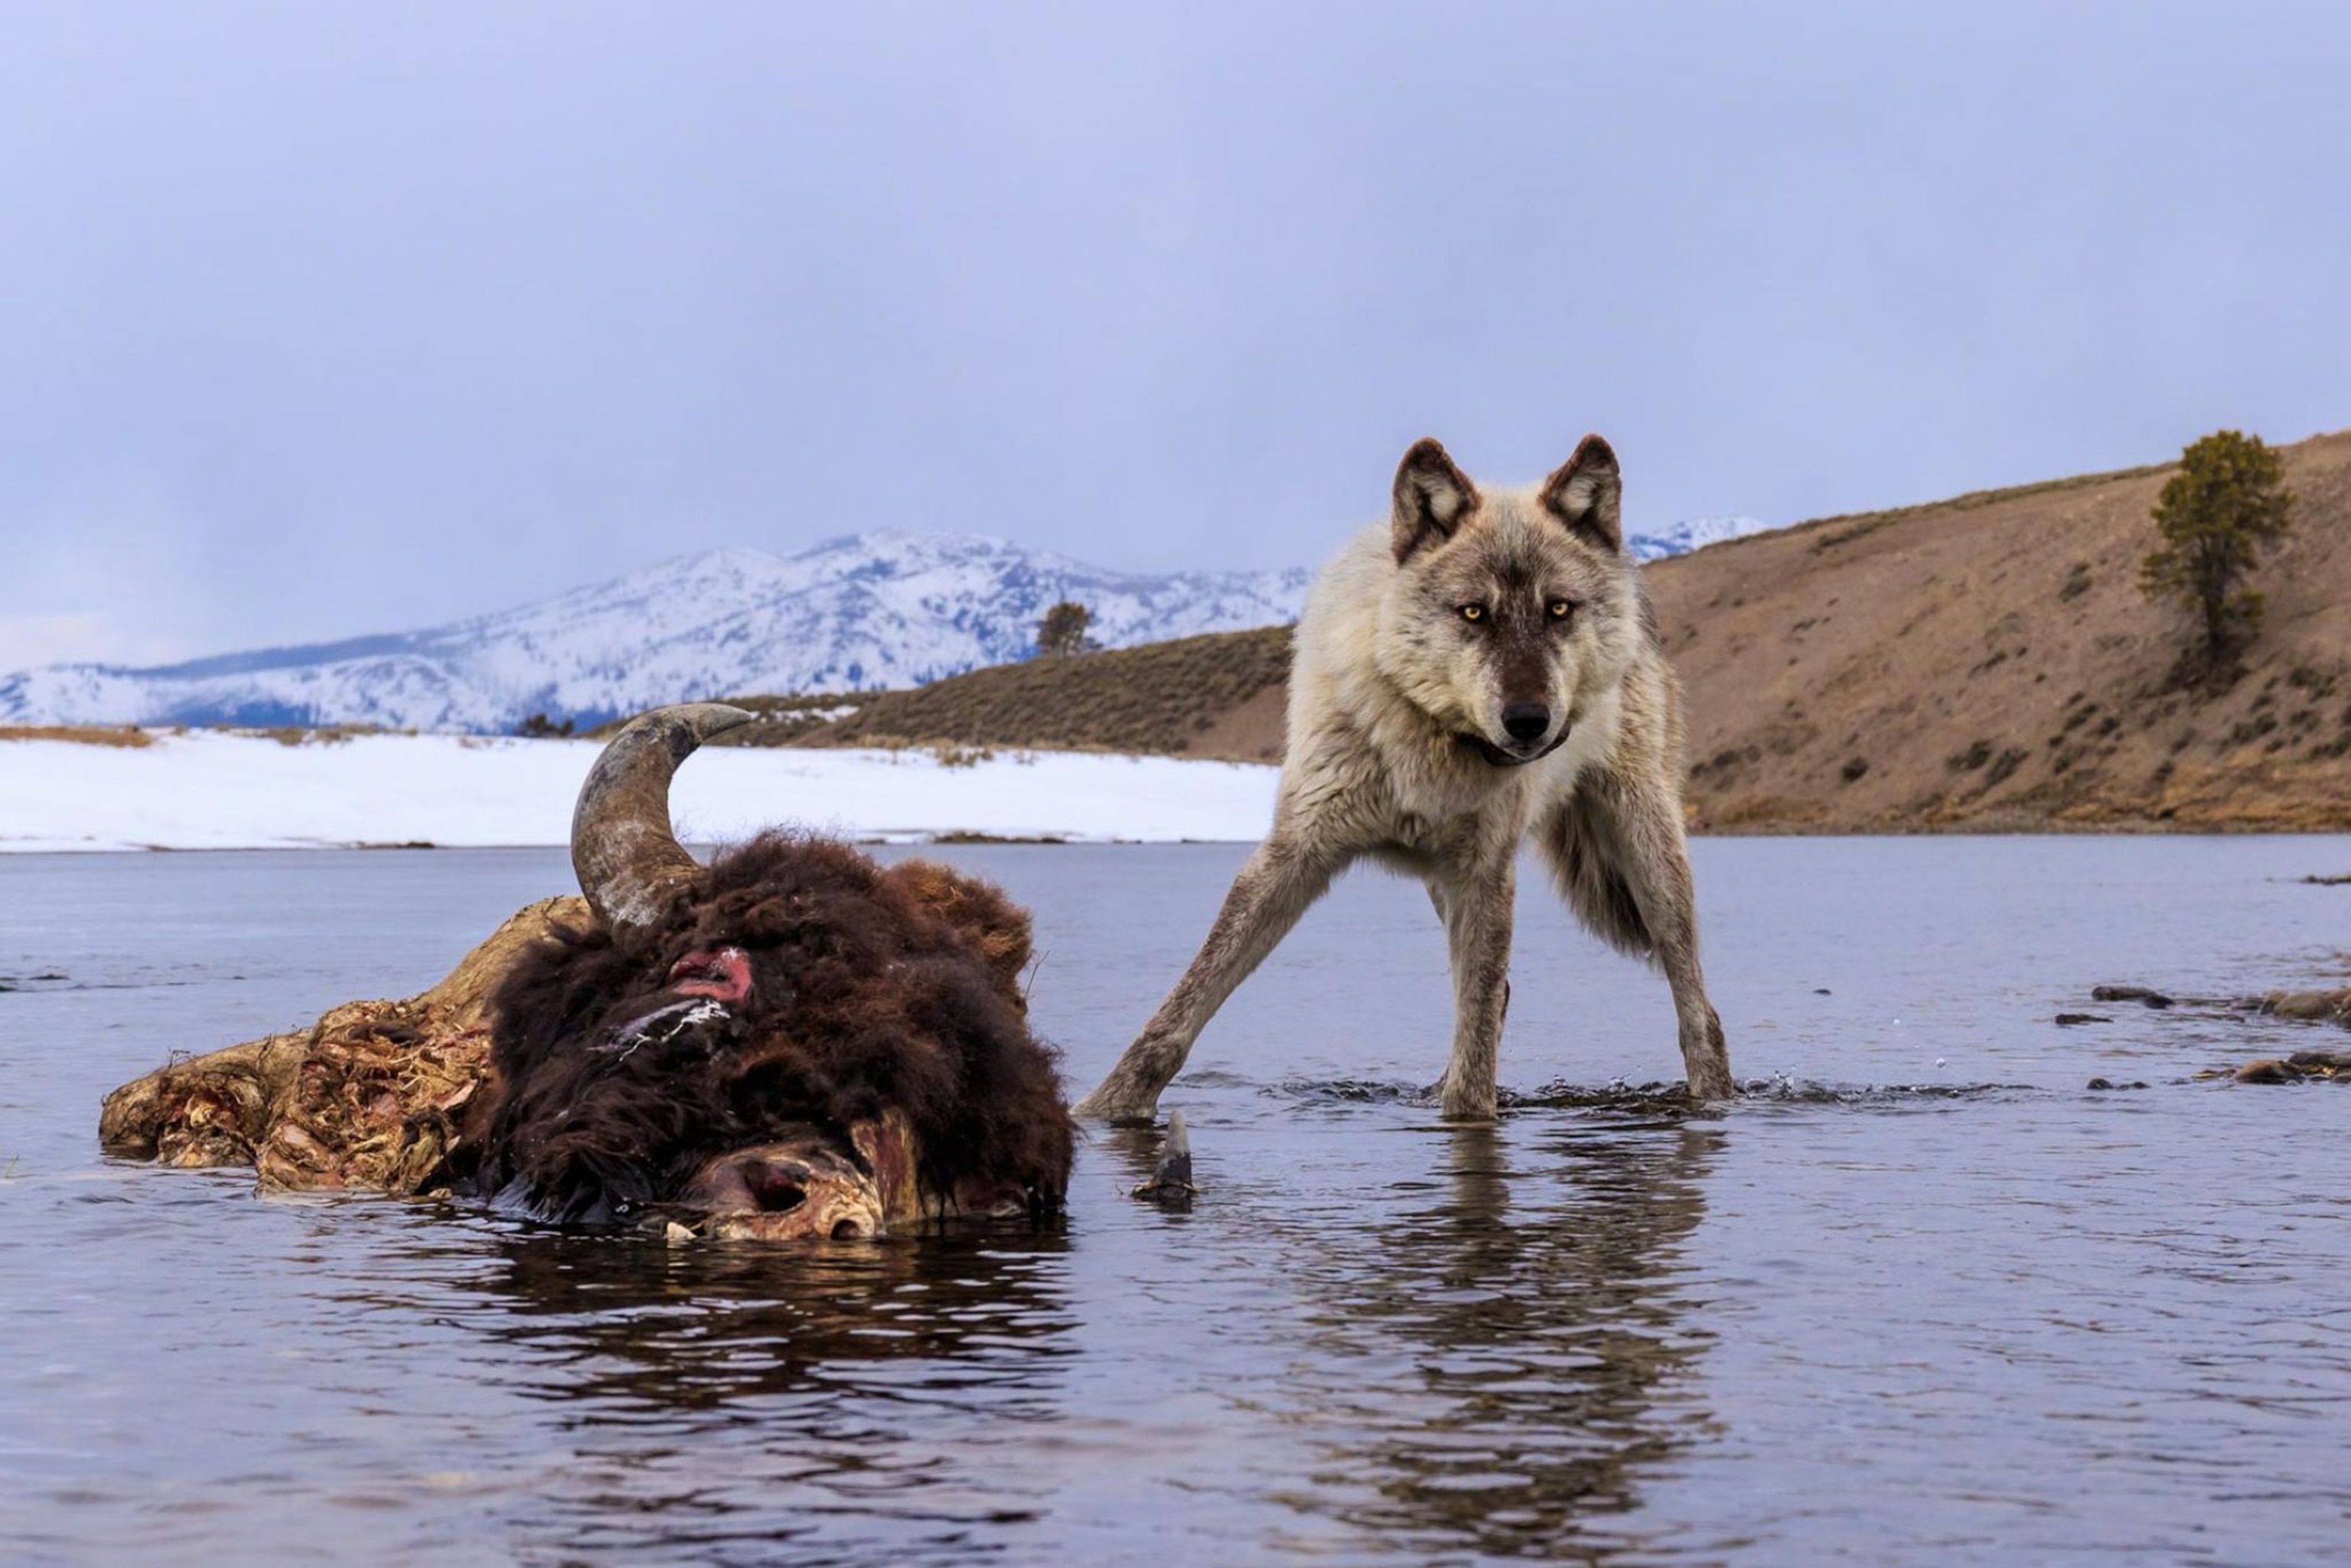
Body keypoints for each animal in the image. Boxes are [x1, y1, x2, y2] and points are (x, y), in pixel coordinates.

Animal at [1074, 435, 1733, 1123]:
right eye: (1474, 612)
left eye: (1558, 609)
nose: (1528, 721)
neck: (1429, 744)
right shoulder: (1295, 854)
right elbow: (1183, 1006)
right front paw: (1105, 1106)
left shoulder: (1487, 875)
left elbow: (1475, 1060)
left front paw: (1467, 1115)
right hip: (1448, 887)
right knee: (1497, 996)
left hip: (1647, 855)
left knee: (1697, 1009)